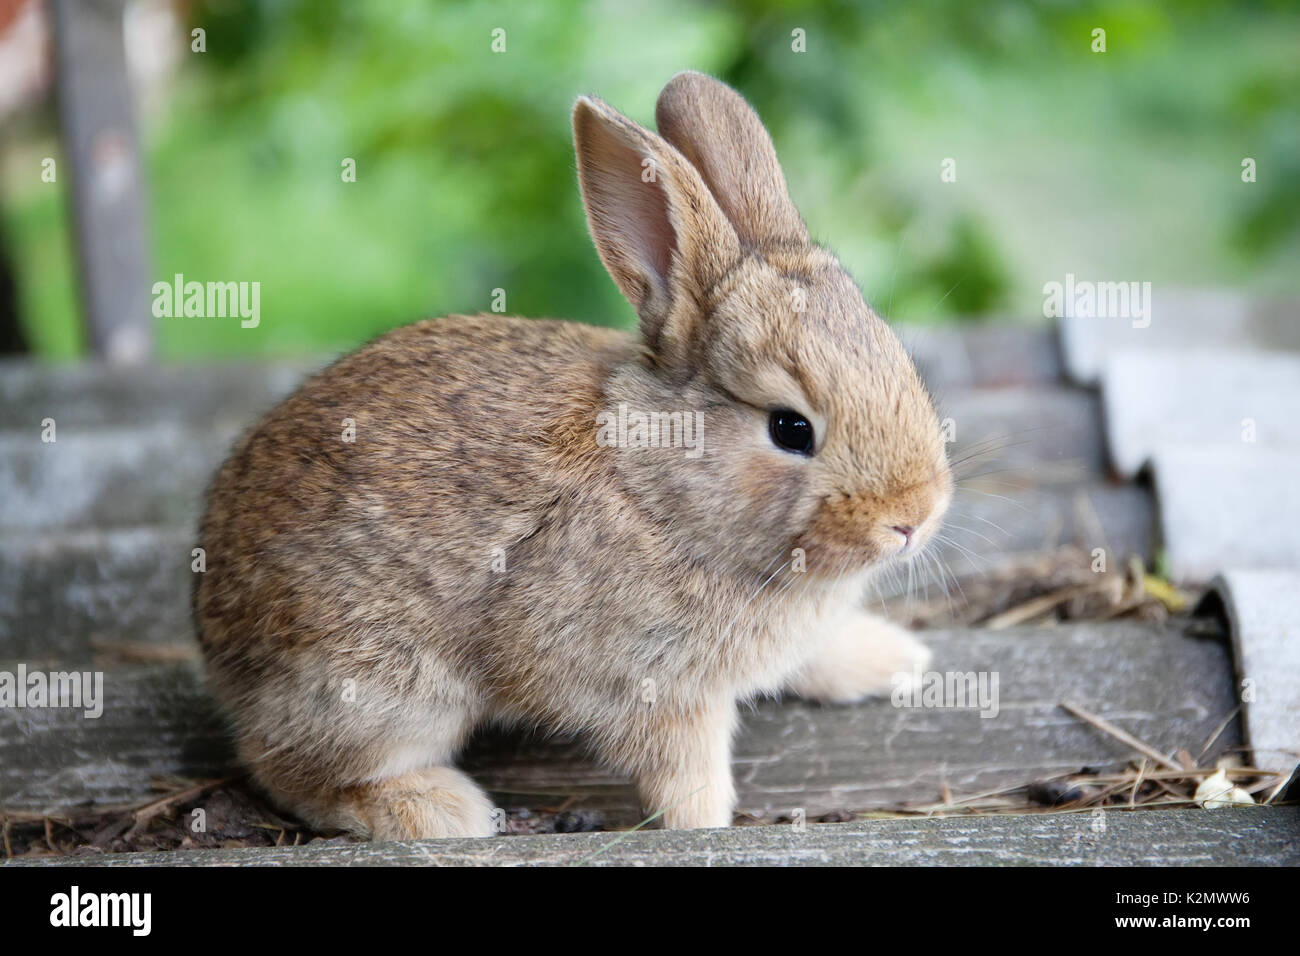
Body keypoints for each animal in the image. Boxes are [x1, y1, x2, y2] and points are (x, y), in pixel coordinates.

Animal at [194, 71, 952, 840]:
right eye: (790, 429)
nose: (912, 518)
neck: (662, 486)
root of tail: (215, 637)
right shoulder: (652, 688)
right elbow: (686, 773)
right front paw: (708, 826)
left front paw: (895, 659)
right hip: (390, 691)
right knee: (289, 768)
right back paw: (443, 809)